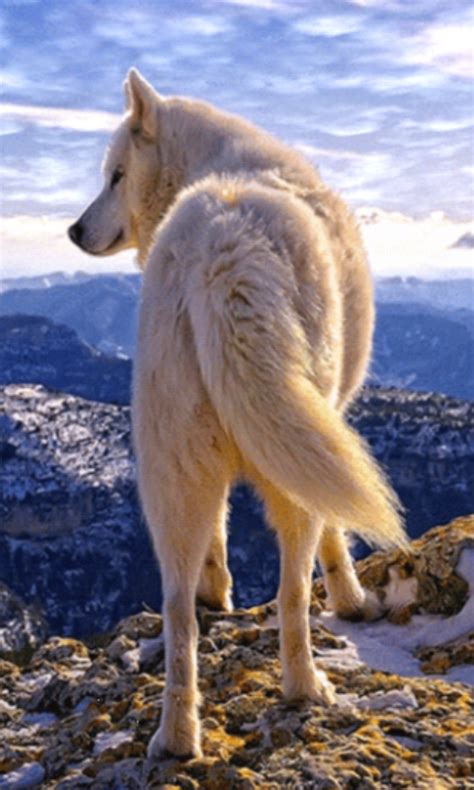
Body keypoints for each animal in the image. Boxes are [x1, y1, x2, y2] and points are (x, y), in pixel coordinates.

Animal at [69, 68, 405, 759]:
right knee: (291, 591)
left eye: (115, 176)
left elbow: (220, 541)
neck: (217, 164)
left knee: (176, 609)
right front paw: (353, 600)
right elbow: (336, 536)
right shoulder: (323, 418)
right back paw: (307, 689)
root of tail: (219, 250)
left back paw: (176, 736)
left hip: (171, 470)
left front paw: (217, 592)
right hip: (284, 461)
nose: (72, 231)